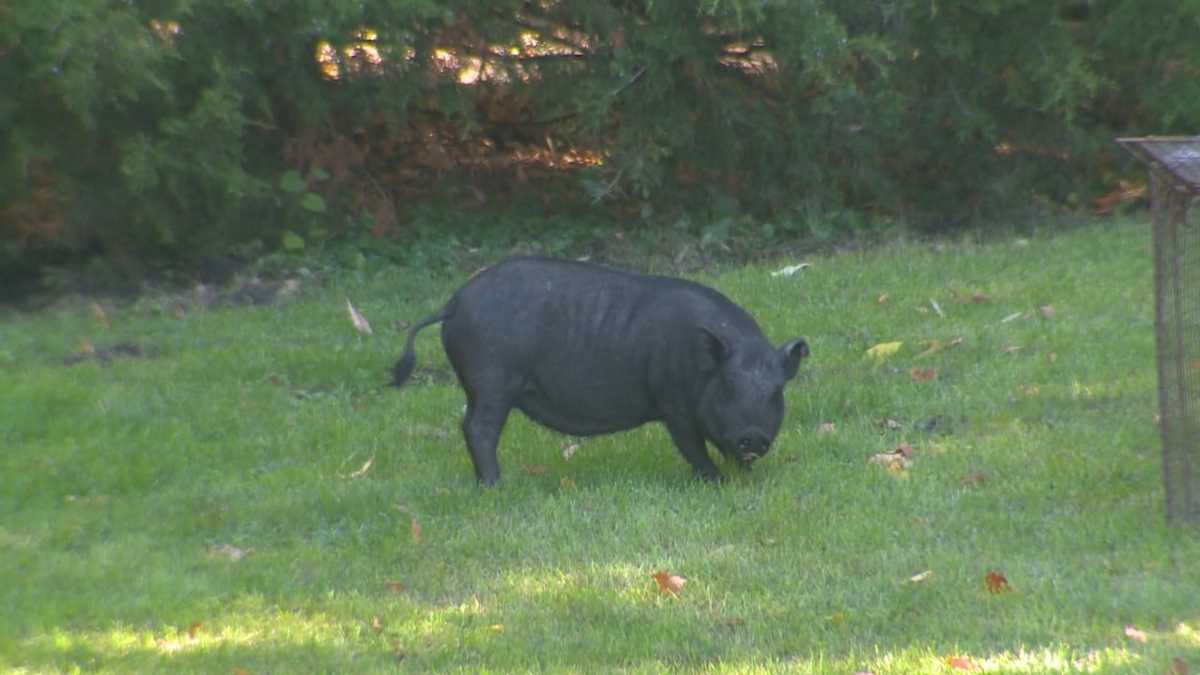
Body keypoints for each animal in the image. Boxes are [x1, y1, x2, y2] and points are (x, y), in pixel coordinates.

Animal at [391, 256, 809, 485]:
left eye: (776, 393)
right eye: (727, 387)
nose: (753, 436)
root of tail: (453, 303)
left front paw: (745, 476)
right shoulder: (672, 400)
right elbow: (691, 445)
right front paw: (715, 480)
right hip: (492, 377)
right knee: (477, 427)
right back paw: (495, 485)